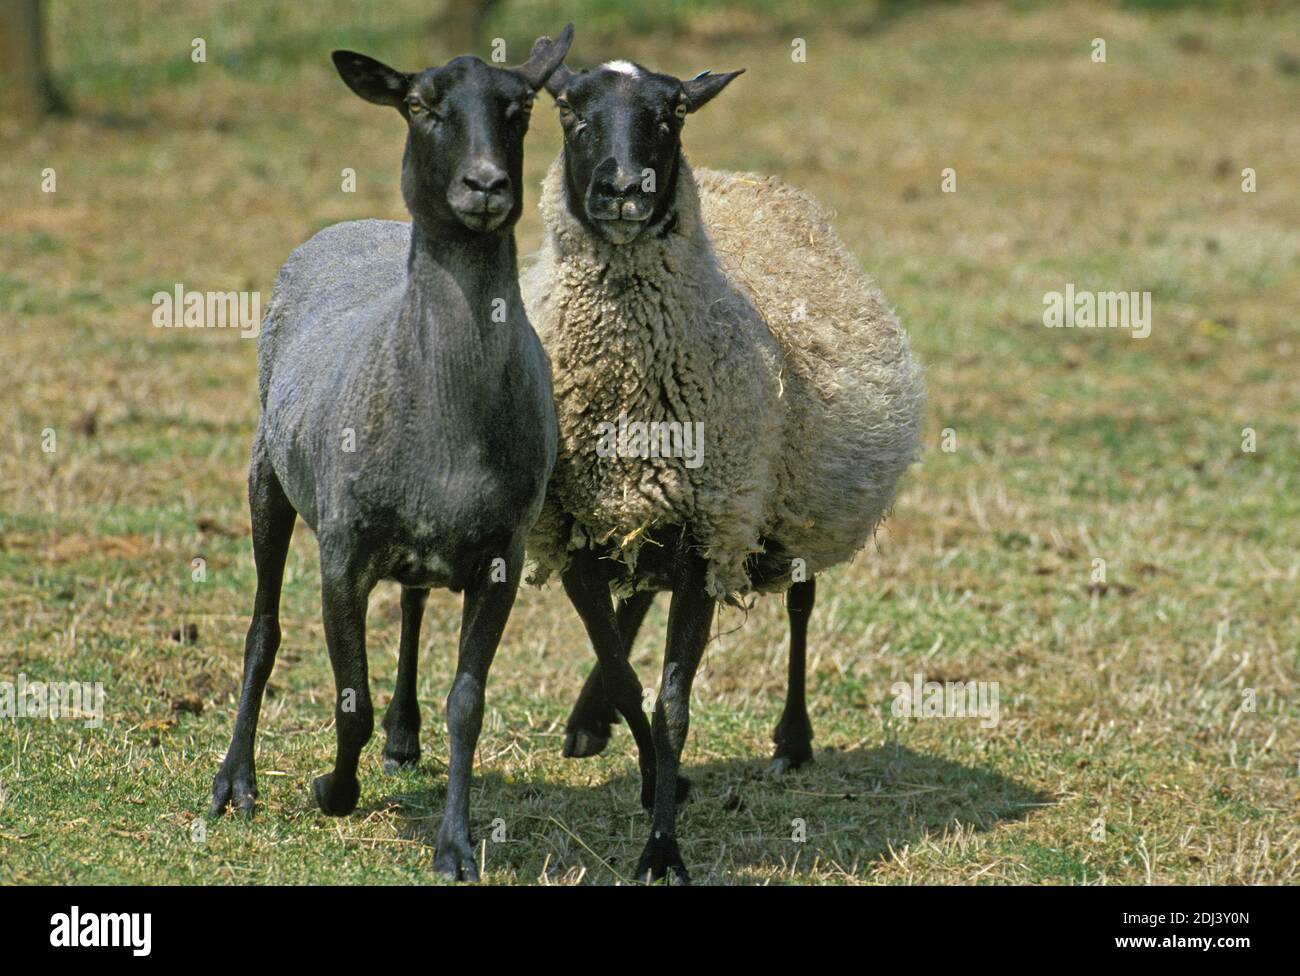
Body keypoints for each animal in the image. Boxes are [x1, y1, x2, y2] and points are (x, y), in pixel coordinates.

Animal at [207, 28, 574, 882]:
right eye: (420, 106)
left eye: (520, 107)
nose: (486, 185)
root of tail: (350, 224)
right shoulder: (342, 550)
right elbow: (352, 701)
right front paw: (332, 792)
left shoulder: (502, 552)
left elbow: (467, 704)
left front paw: (455, 846)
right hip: (267, 470)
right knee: (263, 629)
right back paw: (235, 782)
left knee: (410, 603)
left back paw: (406, 739)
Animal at [515, 51, 925, 882]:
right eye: (569, 109)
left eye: (672, 113)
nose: (625, 189)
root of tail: (748, 179)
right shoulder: (579, 537)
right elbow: (629, 678)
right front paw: (651, 780)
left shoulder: (710, 538)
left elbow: (673, 704)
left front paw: (662, 846)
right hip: (652, 515)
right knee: (637, 601)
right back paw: (590, 721)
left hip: (791, 505)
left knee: (800, 606)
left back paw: (792, 741)